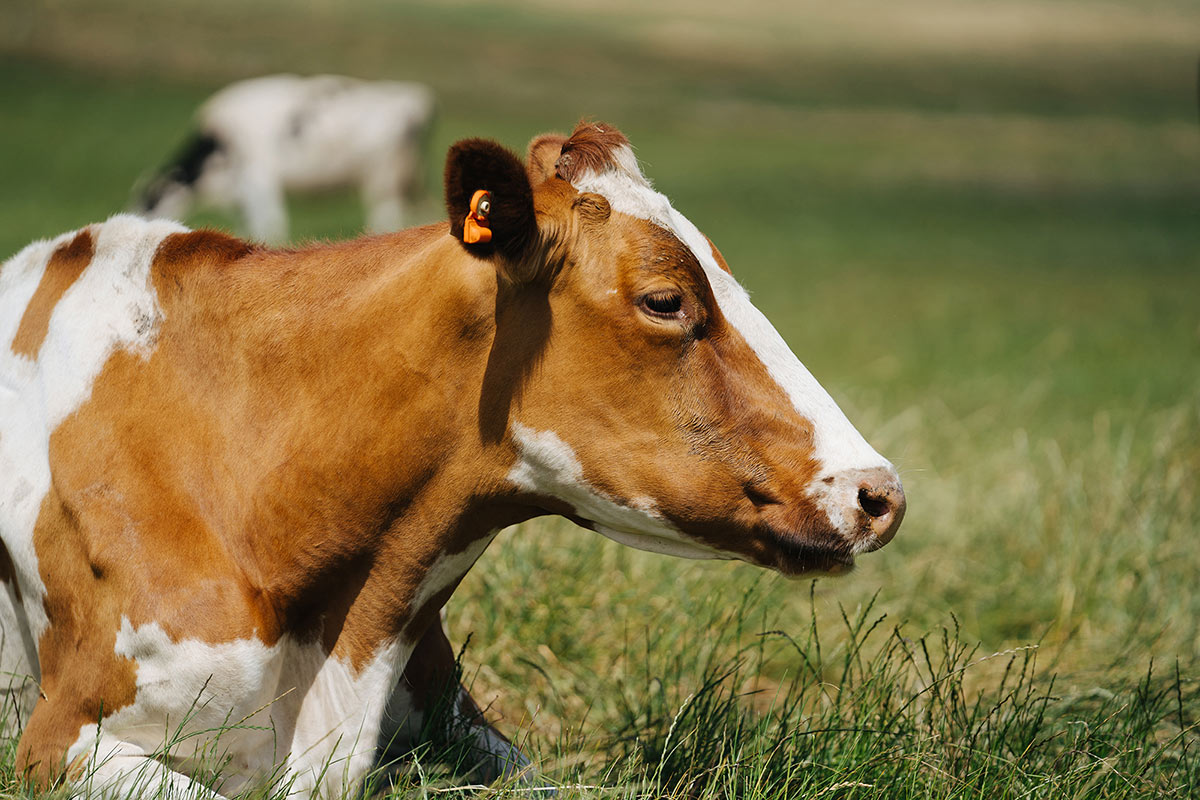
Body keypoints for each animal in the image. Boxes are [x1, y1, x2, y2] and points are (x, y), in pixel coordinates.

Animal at [133, 74, 436, 245]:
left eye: (151, 200)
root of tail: (414, 100)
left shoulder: (259, 178)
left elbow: (269, 221)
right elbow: (247, 224)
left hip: (383, 177)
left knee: (386, 216)